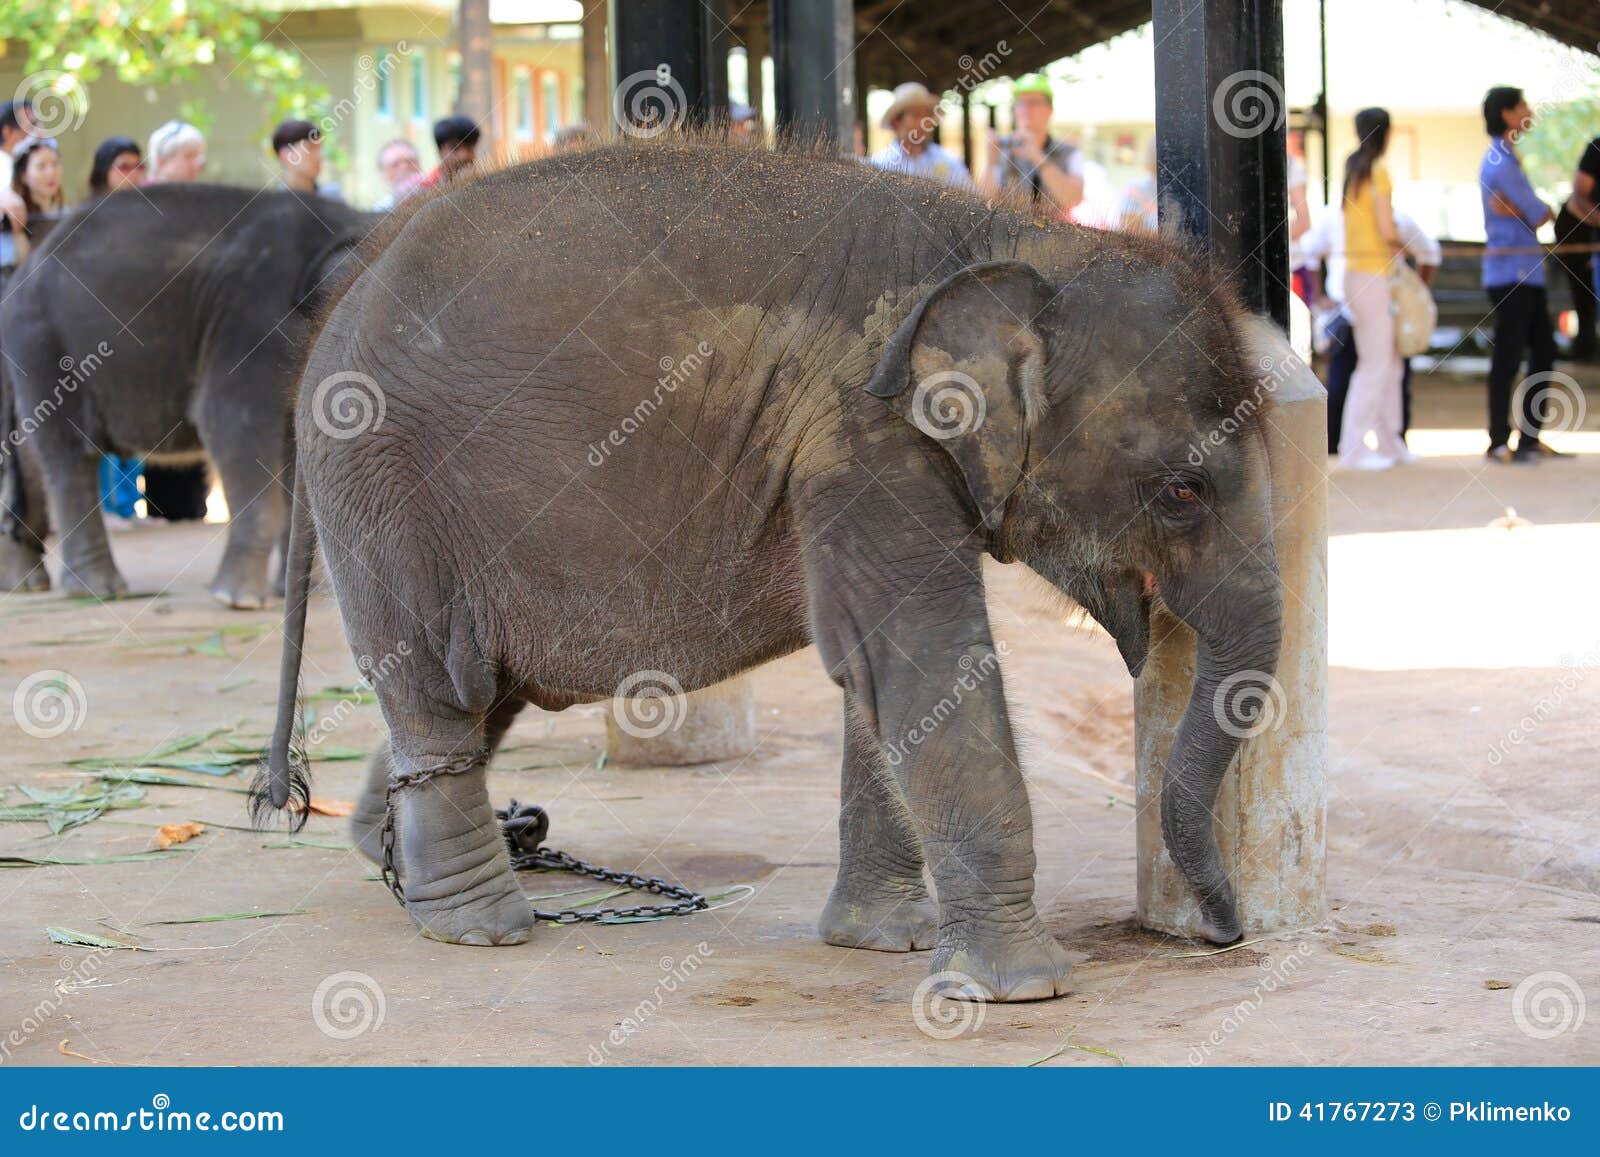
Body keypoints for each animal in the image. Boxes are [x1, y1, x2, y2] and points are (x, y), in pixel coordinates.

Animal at [0, 185, 374, 606]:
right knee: (70, 454)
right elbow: (233, 427)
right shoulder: (248, 325)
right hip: (44, 346)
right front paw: (237, 600)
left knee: (26, 455)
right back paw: (97, 591)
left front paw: (300, 595)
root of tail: (20, 275)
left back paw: (23, 584)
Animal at [255, 139, 1282, 1002]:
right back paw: (481, 926)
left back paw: (390, 858)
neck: (1018, 239)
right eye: (1183, 490)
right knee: (439, 684)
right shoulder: (859, 435)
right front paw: (1019, 988)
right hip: (385, 490)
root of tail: (334, 305)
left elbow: (876, 682)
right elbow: (917, 660)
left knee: (479, 696)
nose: (1224, 932)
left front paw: (891, 940)